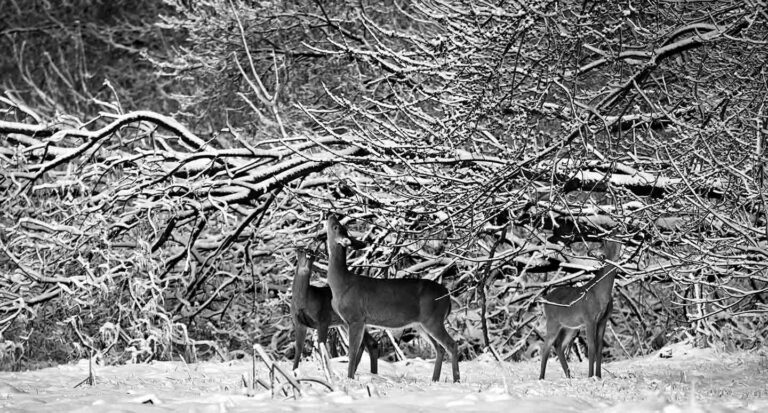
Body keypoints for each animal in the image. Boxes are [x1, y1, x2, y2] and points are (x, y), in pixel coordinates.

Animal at [325, 214, 460, 383]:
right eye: (340, 227)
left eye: (336, 227)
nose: (331, 215)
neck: (341, 284)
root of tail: (448, 297)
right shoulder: (360, 321)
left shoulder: (355, 318)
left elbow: (353, 352)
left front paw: (350, 378)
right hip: (421, 324)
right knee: (440, 348)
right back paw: (434, 380)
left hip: (433, 319)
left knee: (451, 344)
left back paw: (456, 380)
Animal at [539, 237, 622, 380]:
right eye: (604, 242)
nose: (617, 238)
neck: (600, 293)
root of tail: (545, 299)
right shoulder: (589, 318)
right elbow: (592, 347)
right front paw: (590, 377)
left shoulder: (603, 319)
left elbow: (599, 347)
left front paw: (598, 376)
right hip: (553, 321)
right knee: (546, 346)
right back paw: (541, 378)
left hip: (570, 327)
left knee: (558, 345)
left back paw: (569, 376)